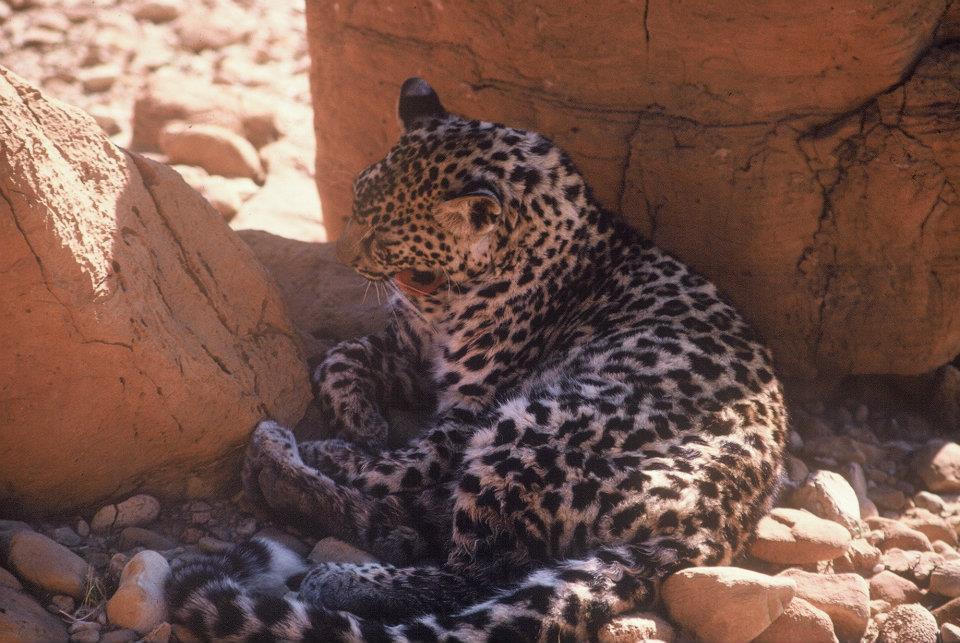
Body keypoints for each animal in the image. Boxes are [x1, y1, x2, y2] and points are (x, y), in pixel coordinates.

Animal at [166, 77, 787, 642]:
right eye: (354, 205)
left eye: (385, 235)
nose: (342, 255)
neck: (445, 290)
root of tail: (724, 521)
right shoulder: (411, 356)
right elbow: (341, 356)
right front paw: (361, 420)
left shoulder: (471, 405)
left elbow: (403, 462)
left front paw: (352, 442)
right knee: (429, 533)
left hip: (529, 426)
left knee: (469, 569)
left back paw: (319, 526)